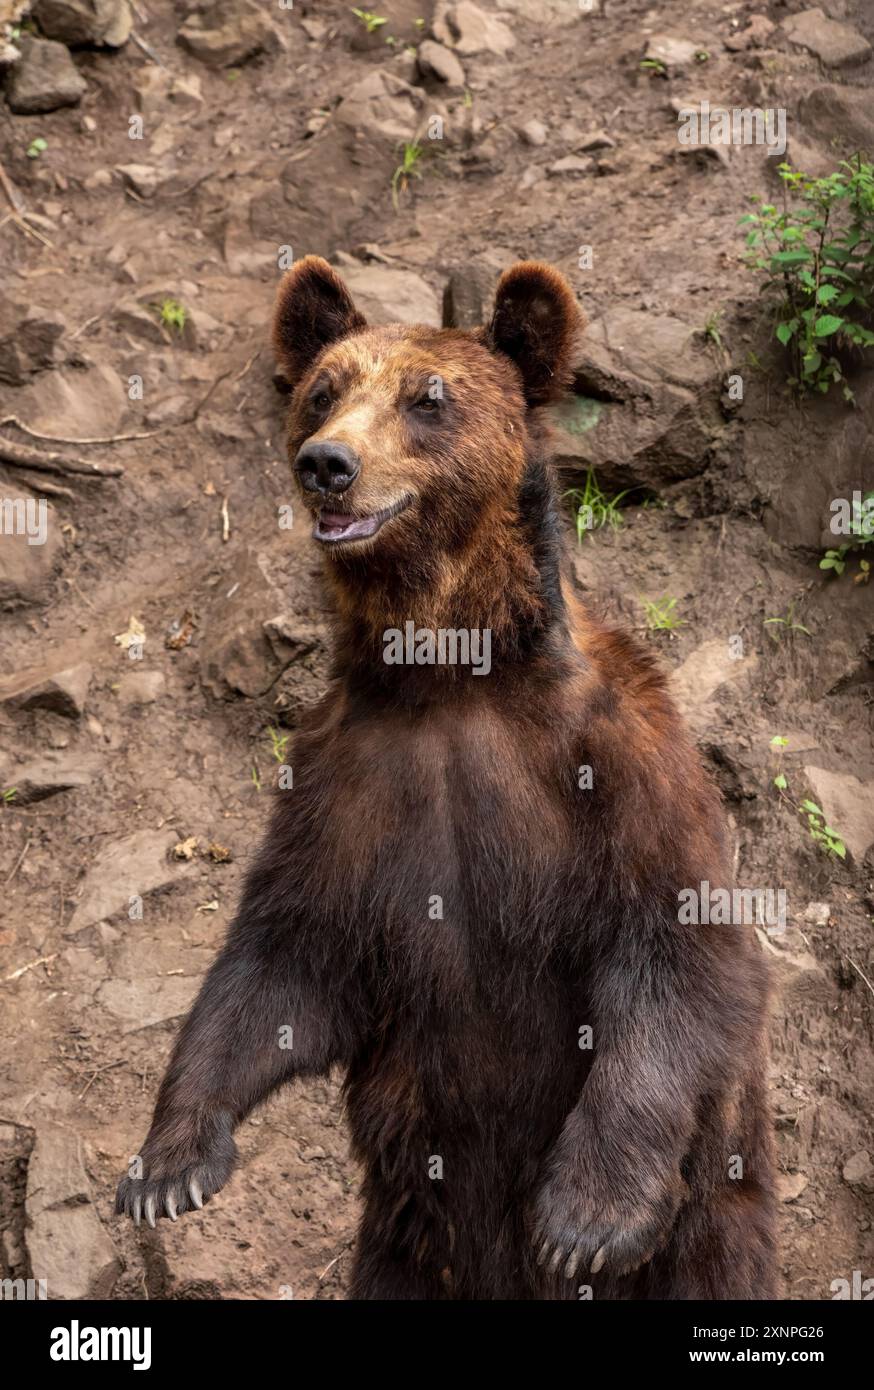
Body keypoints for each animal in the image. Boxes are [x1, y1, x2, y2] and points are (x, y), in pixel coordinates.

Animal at [117, 257, 777, 1301]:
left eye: (429, 399)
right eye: (324, 391)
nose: (328, 464)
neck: (452, 675)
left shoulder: (619, 761)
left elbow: (677, 949)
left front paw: (584, 1220)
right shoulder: (345, 781)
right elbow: (282, 962)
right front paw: (168, 1165)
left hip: (710, 1213)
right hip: (407, 1232)